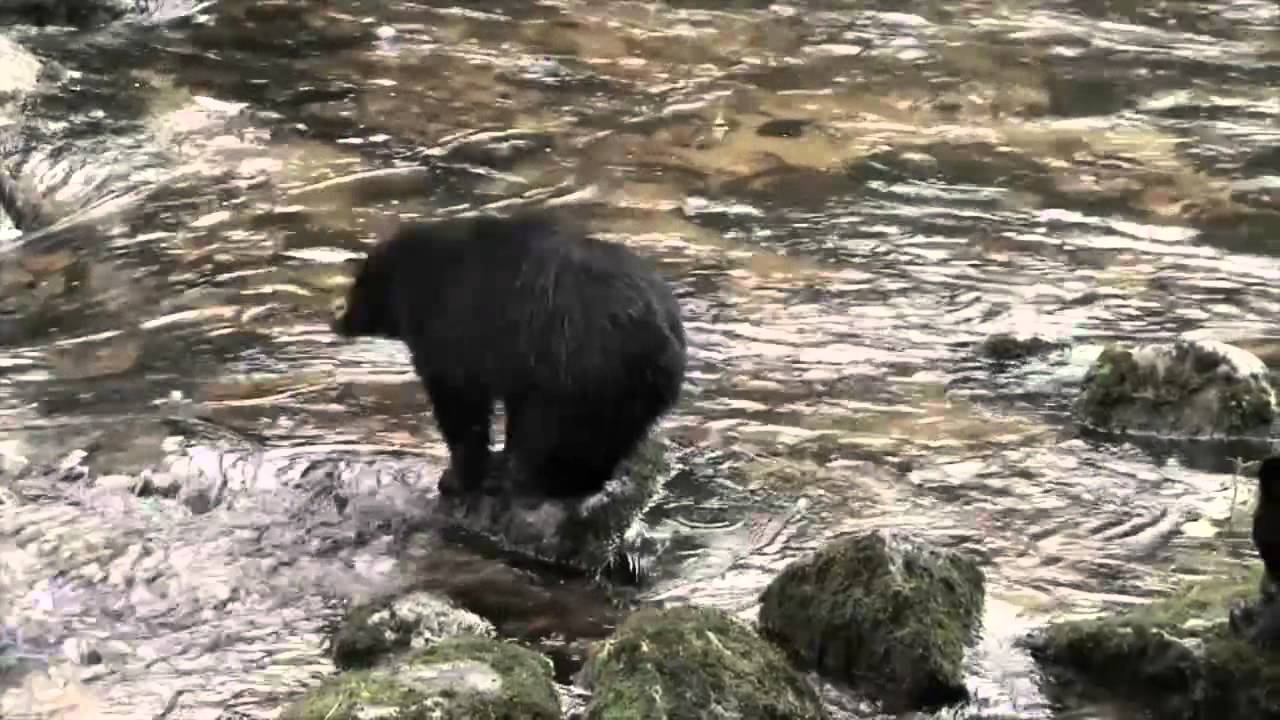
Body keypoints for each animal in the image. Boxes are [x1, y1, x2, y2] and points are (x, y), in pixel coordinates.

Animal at [331, 210, 686, 501]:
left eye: (356, 288)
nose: (337, 318)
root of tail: (663, 336)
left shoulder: (454, 330)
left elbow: (461, 405)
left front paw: (457, 478)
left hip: (579, 368)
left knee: (557, 431)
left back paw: (535, 479)